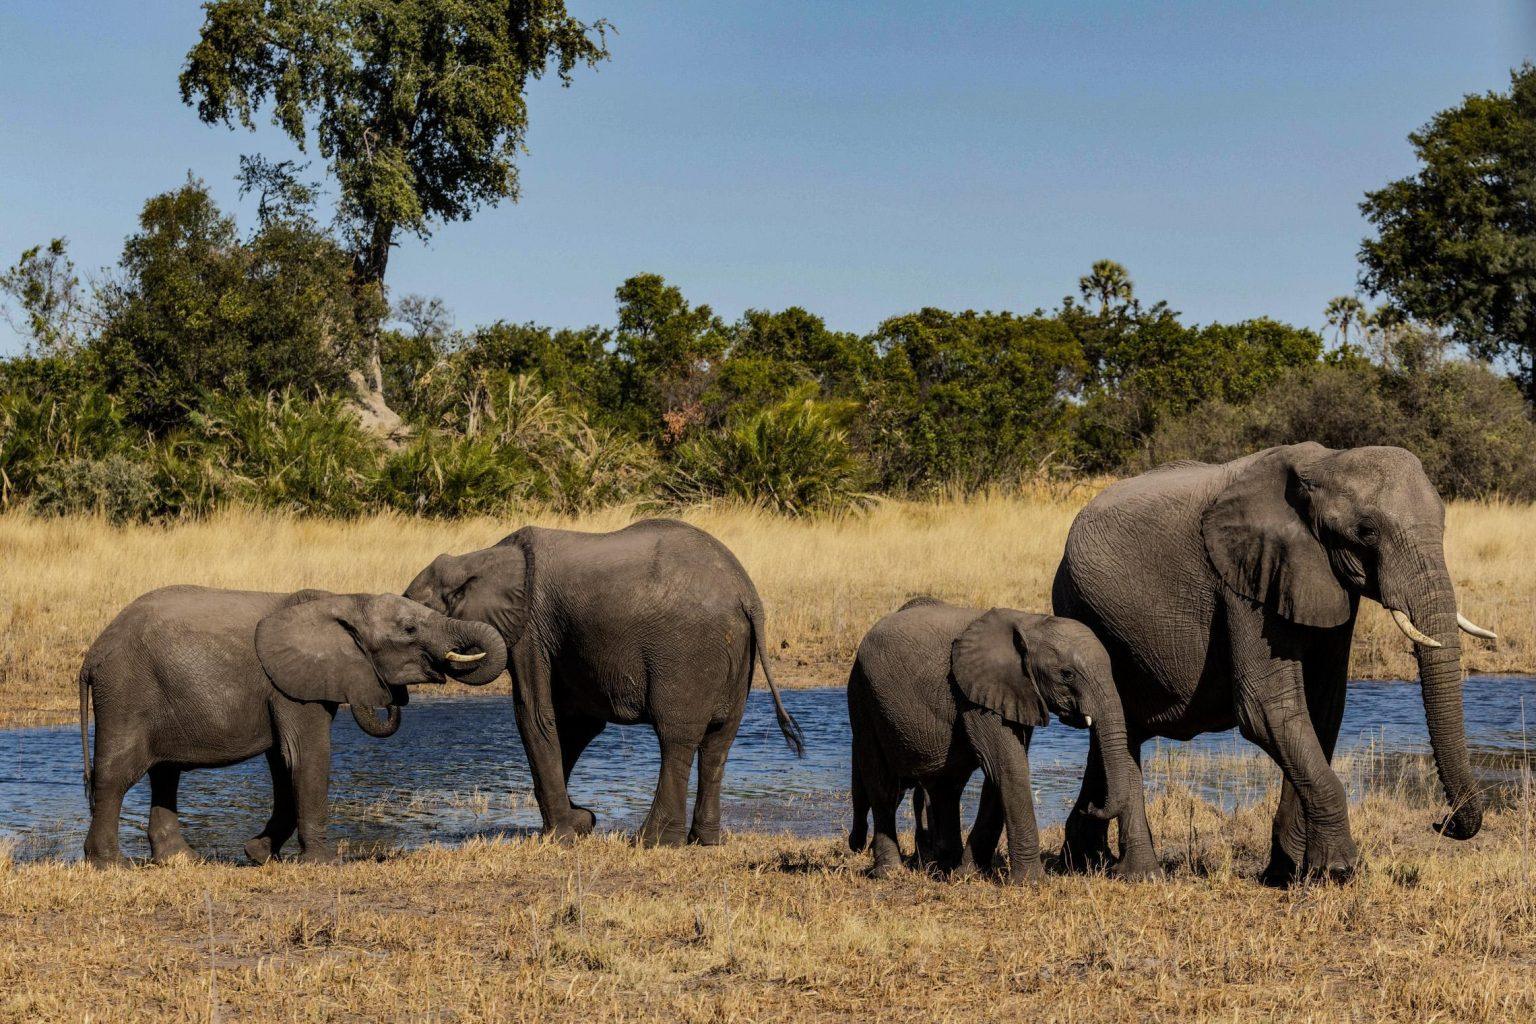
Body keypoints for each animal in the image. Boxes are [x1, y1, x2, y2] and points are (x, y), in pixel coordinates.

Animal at [78, 586, 506, 867]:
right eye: (409, 630)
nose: (391, 698)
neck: (343, 599)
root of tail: (93, 653)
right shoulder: (292, 686)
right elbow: (306, 755)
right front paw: (323, 862)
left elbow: (284, 766)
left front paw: (257, 853)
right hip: (126, 692)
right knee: (117, 773)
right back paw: (111, 864)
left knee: (165, 774)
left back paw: (181, 860)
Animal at [404, 519, 804, 847]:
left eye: (415, 624)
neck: (478, 558)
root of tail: (747, 594)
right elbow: (578, 724)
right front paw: (580, 822)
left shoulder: (530, 632)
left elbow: (535, 716)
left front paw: (562, 835)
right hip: (736, 658)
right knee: (719, 743)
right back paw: (704, 841)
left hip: (688, 654)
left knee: (676, 739)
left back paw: (652, 842)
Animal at [847, 597, 1147, 881]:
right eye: (1067, 674)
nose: (1091, 807)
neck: (1030, 623)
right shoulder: (975, 692)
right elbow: (1007, 764)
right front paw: (1030, 882)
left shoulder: (1015, 692)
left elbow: (1000, 770)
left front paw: (968, 874)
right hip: (863, 697)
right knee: (882, 786)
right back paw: (889, 872)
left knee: (946, 786)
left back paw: (945, 868)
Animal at [1053, 443, 1498, 884]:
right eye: (1366, 531)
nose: (1442, 823)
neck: (1324, 463)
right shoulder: (1245, 580)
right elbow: (1269, 710)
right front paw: (1339, 870)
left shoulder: (1319, 580)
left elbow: (1321, 711)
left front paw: (1291, 873)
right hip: (1083, 611)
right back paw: (1134, 873)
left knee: (1115, 733)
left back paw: (1086, 862)